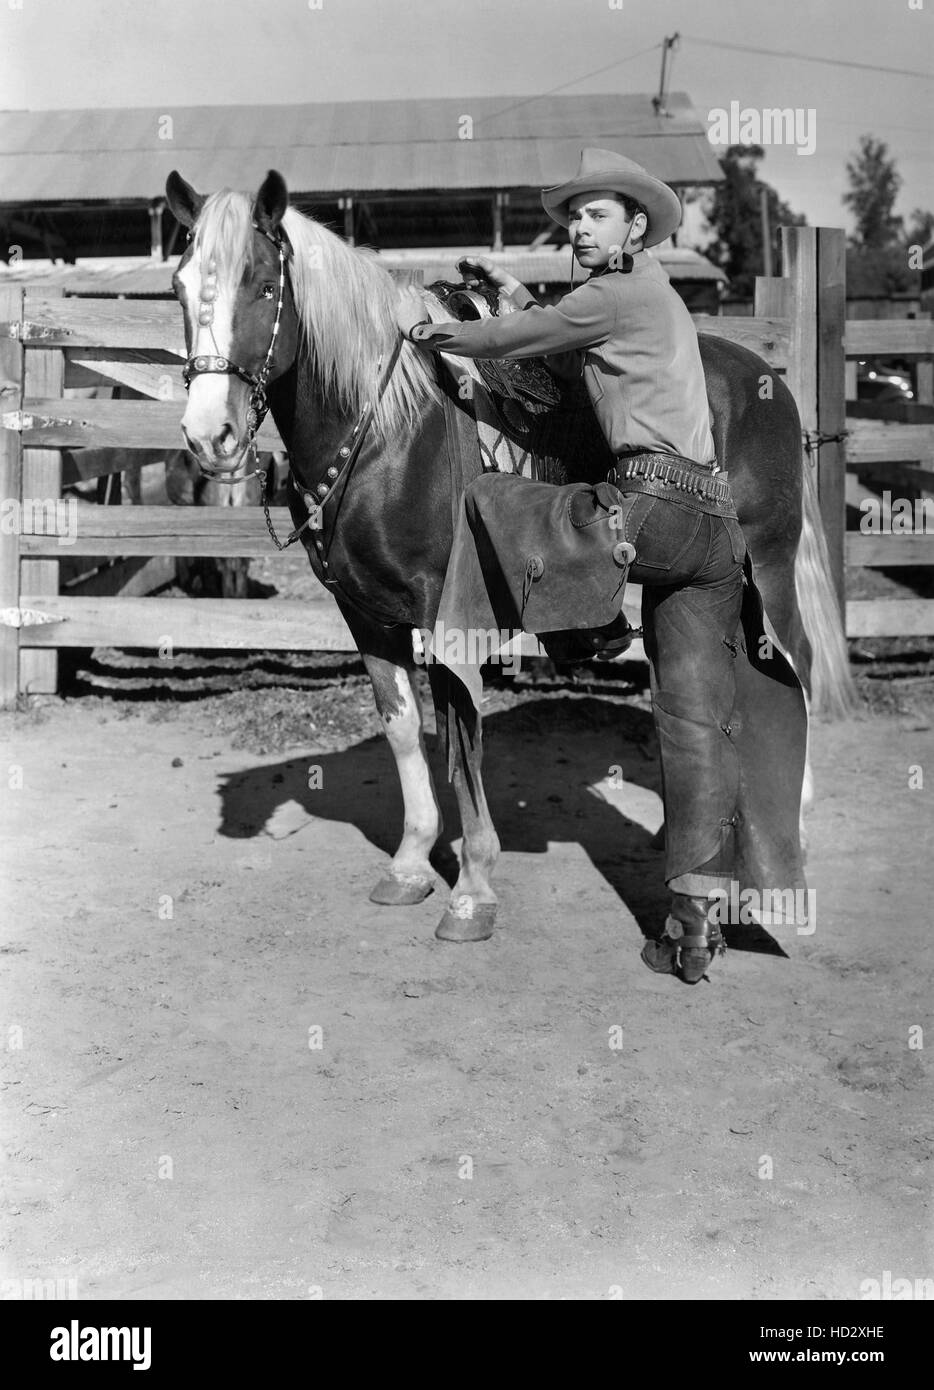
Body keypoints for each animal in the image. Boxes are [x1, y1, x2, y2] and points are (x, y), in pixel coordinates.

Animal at [164, 167, 853, 943]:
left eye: (261, 285)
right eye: (179, 287)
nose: (209, 435)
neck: (390, 431)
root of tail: (764, 377)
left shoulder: (445, 611)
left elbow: (462, 741)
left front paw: (473, 890)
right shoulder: (362, 613)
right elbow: (404, 731)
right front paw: (410, 863)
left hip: (768, 566)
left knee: (794, 662)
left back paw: (790, 823)